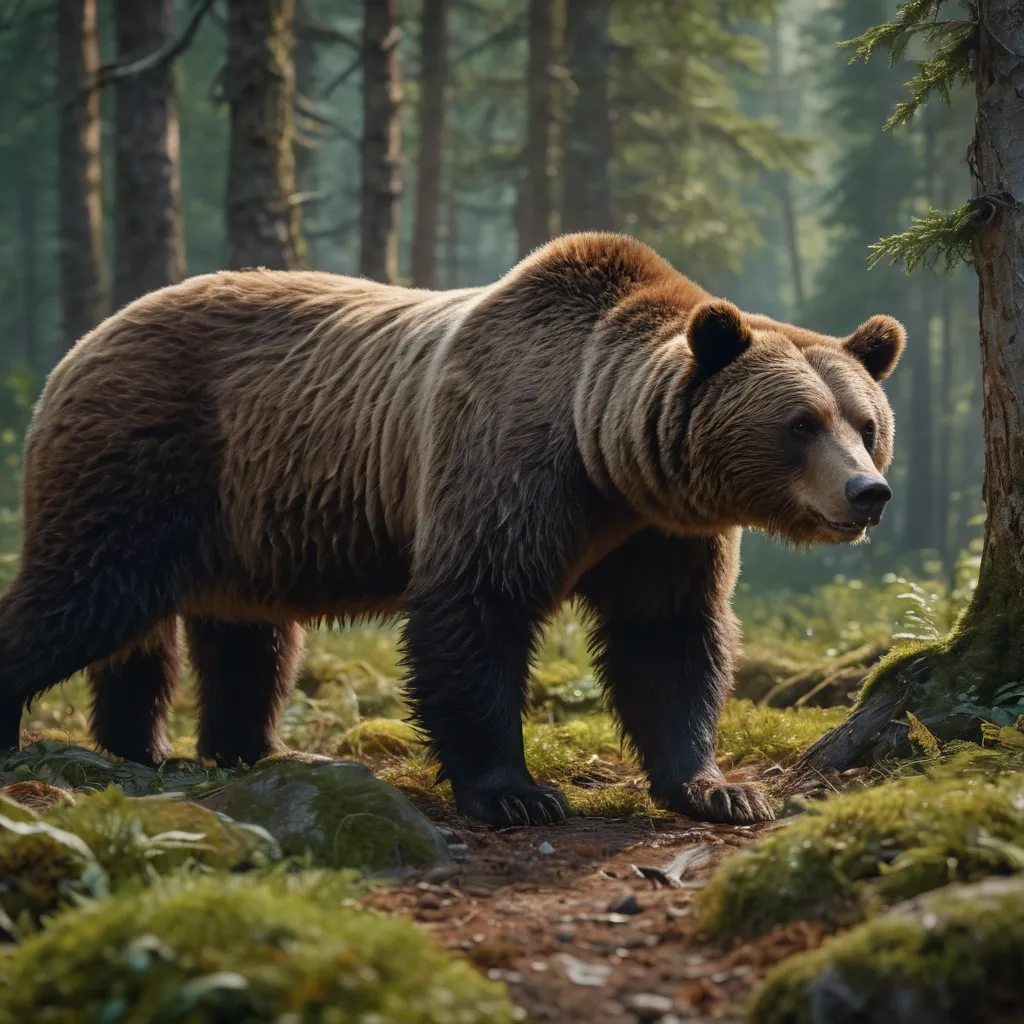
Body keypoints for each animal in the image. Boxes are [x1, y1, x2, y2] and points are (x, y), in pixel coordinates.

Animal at [0, 233, 903, 827]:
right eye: (799, 423)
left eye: (866, 422)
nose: (869, 492)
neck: (603, 457)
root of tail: (82, 343)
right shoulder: (505, 461)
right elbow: (477, 610)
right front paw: (518, 792)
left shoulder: (660, 533)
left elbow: (668, 641)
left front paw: (721, 788)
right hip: (148, 457)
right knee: (84, 593)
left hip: (241, 522)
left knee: (240, 640)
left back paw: (217, 749)